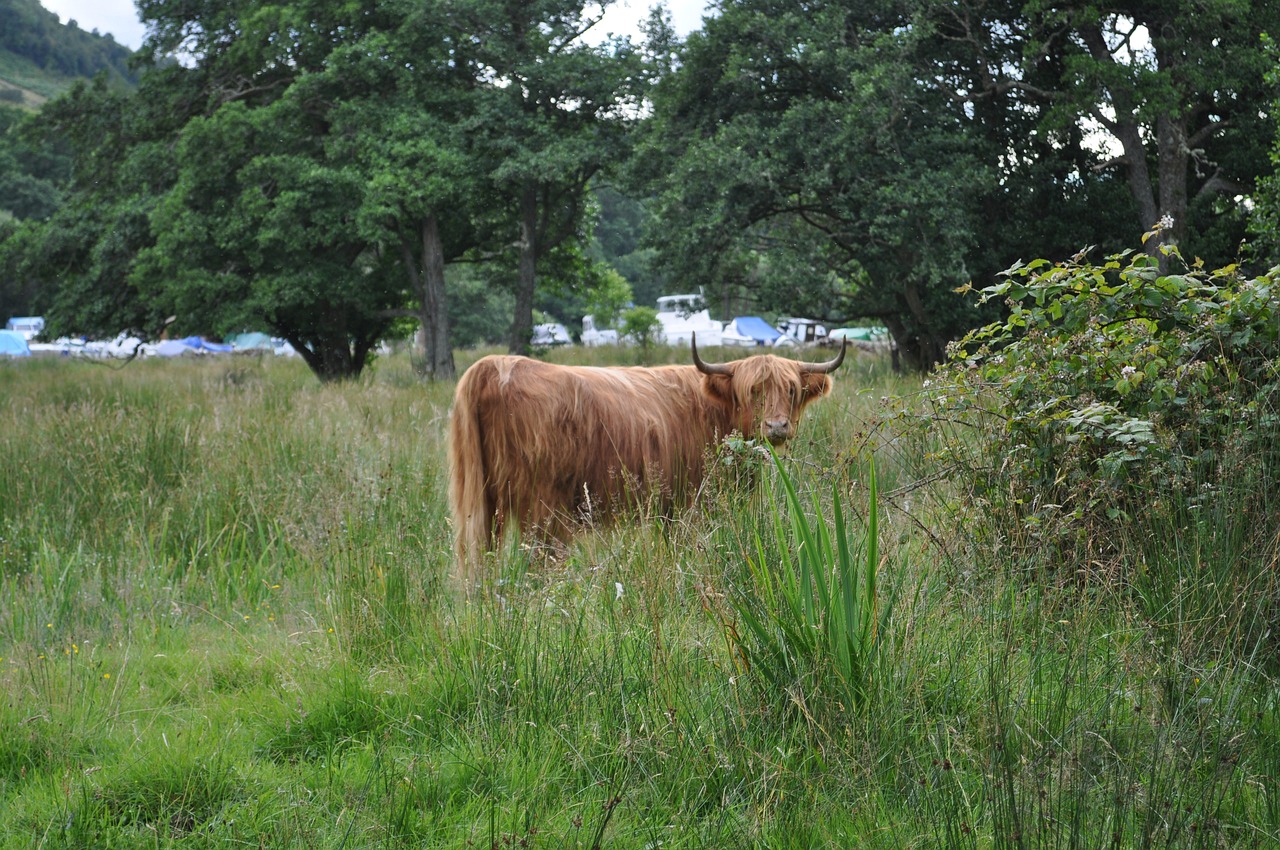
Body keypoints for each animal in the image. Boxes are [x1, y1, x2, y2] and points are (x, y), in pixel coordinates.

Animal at [447, 335, 846, 584]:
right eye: (753, 390)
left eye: (791, 389)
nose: (777, 426)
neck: (714, 412)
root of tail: (493, 366)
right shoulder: (692, 504)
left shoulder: (669, 507)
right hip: (544, 507)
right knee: (540, 561)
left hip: (483, 503)